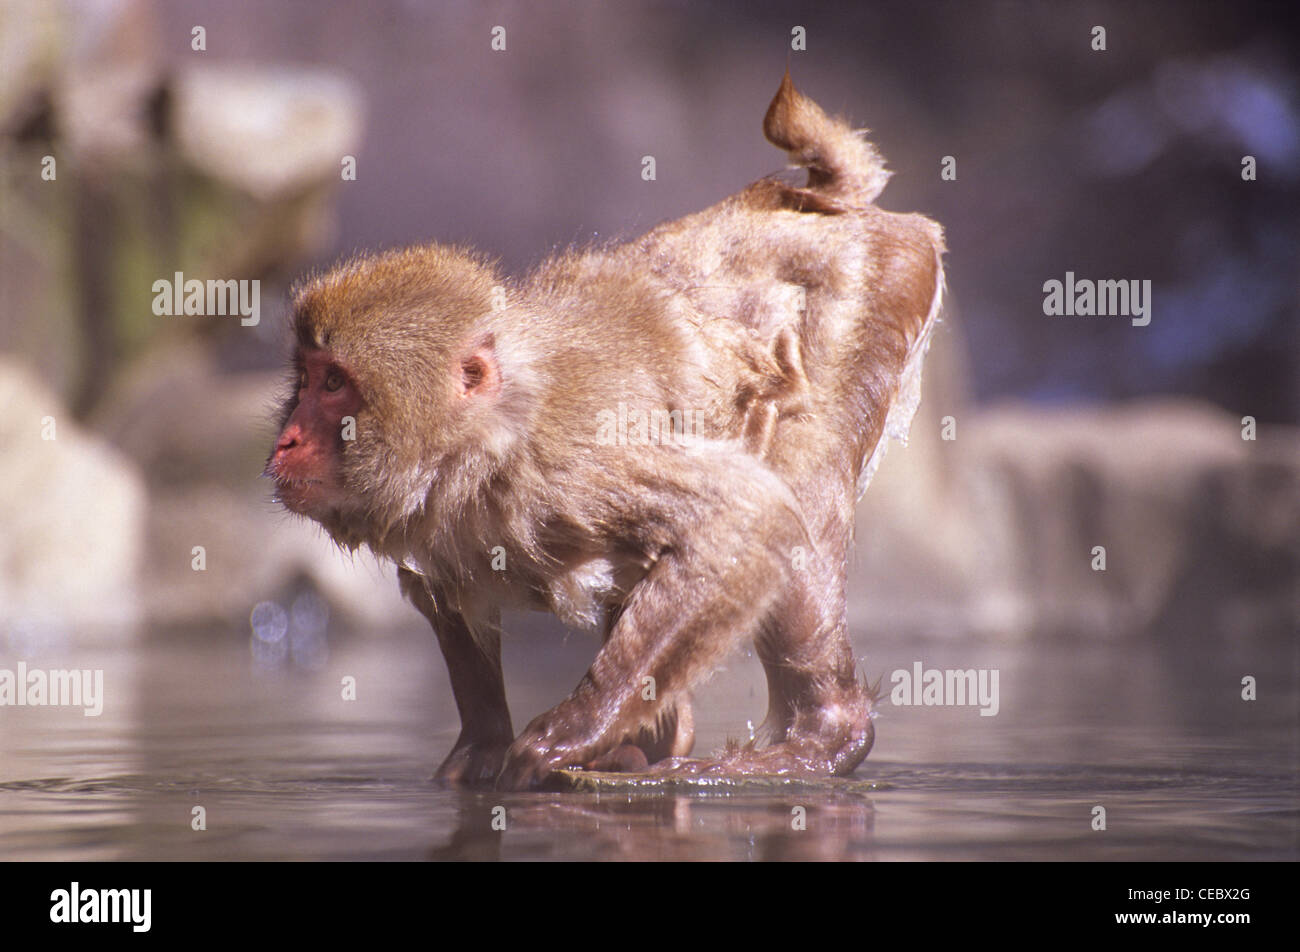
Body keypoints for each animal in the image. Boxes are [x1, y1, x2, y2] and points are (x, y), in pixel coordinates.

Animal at [266, 72, 945, 790]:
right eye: (305, 379)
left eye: (335, 385)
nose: (287, 440)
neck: (484, 449)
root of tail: (825, 203)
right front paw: (480, 750)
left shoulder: (571, 467)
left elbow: (742, 514)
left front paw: (565, 737)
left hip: (872, 291)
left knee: (792, 490)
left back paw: (819, 740)